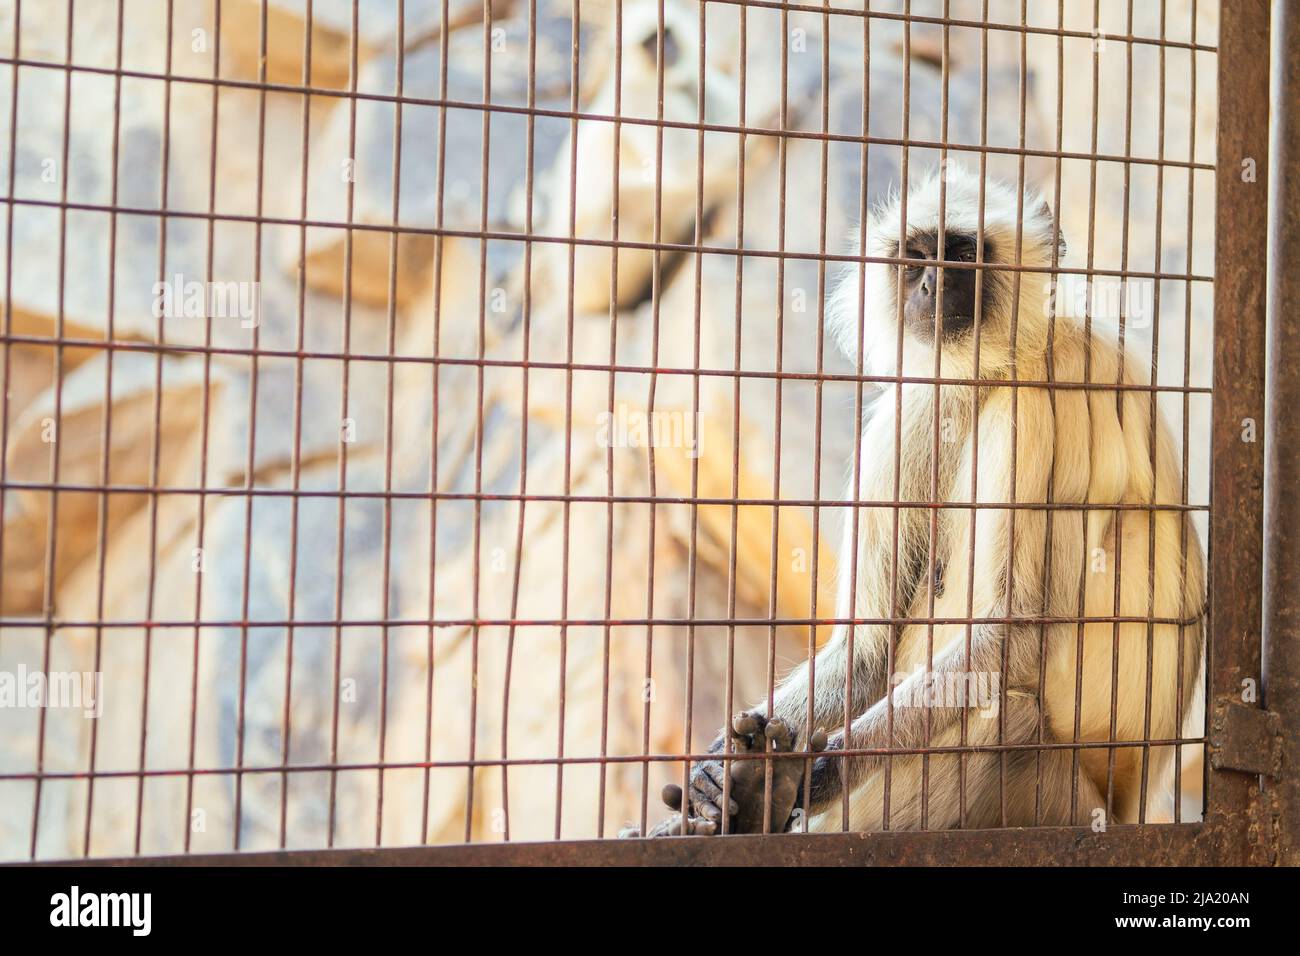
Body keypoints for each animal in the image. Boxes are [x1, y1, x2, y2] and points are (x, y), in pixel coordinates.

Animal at [675, 163, 1205, 834]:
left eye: (963, 255)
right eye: (918, 257)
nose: (930, 285)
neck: (999, 365)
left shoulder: (1047, 396)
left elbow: (1017, 630)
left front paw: (814, 776)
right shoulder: (917, 407)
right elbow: (868, 650)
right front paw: (720, 772)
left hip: (1064, 801)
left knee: (1006, 717)